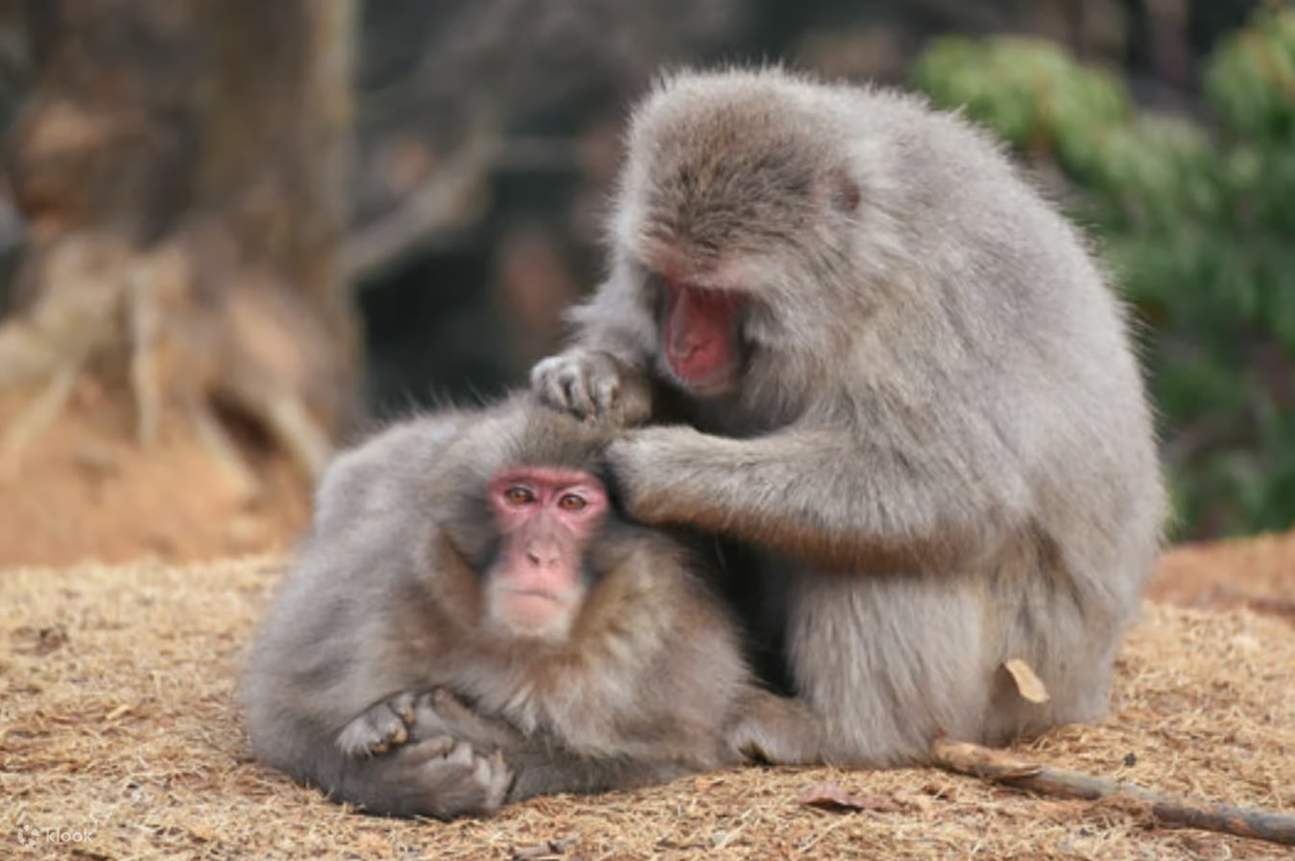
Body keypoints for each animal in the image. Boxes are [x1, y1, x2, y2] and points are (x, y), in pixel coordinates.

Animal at [242, 396, 823, 819]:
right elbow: (280, 713)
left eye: (572, 503)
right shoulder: (378, 595)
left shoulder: (660, 647)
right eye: (519, 496)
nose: (540, 554)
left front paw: (469, 734)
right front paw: (402, 778)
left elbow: (671, 752)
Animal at [531, 67, 1167, 766]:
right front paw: (603, 372)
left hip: (1016, 680)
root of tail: (1086, 692)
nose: (682, 345)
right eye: (669, 281)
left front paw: (659, 469)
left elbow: (949, 488)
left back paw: (848, 733)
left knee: (877, 552)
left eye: (714, 295)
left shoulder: (937, 310)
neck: (856, 280)